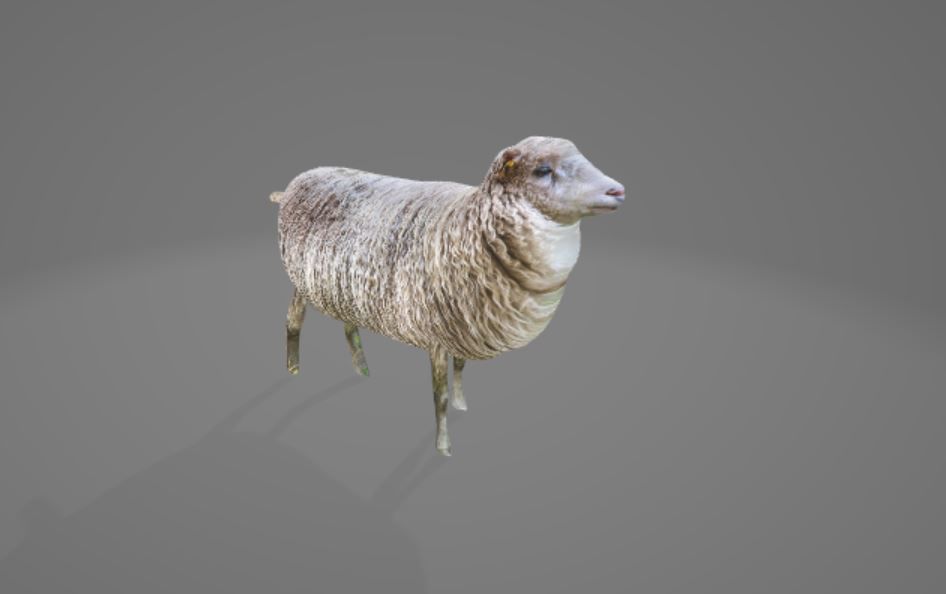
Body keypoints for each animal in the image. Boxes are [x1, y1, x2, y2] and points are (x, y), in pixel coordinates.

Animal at [271, 136, 625, 456]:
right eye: (542, 170)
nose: (617, 191)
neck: (472, 225)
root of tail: (296, 183)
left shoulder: (464, 322)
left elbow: (461, 369)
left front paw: (462, 403)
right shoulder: (436, 334)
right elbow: (438, 396)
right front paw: (443, 445)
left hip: (346, 286)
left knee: (349, 326)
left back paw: (362, 369)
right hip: (300, 280)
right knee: (292, 322)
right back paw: (294, 369)